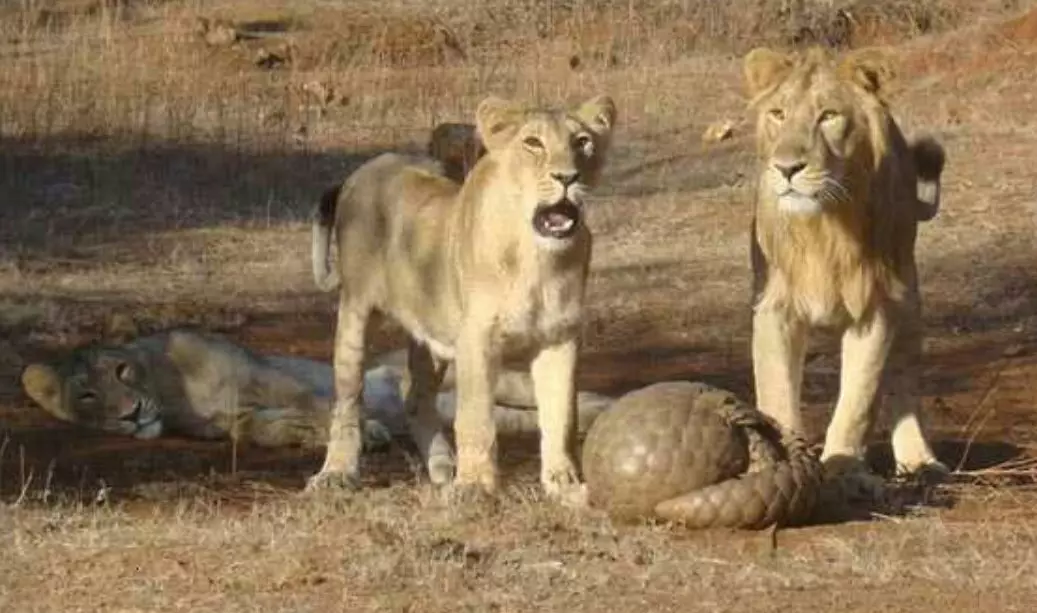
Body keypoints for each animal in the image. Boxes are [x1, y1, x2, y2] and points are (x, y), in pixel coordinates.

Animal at [306, 93, 613, 502]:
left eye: (582, 142)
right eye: (533, 143)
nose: (568, 178)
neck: (537, 259)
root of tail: (362, 171)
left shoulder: (559, 338)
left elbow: (560, 415)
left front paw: (563, 484)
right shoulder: (476, 338)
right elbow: (475, 417)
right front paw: (475, 487)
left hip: (432, 328)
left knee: (414, 396)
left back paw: (443, 467)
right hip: (356, 310)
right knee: (347, 398)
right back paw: (337, 473)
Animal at [746, 45, 949, 491]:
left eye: (829, 116)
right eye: (778, 114)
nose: (787, 168)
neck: (823, 228)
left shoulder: (878, 304)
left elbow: (860, 395)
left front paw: (842, 464)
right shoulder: (774, 306)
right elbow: (775, 390)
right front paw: (780, 462)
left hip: (909, 296)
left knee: (904, 381)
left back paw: (919, 461)